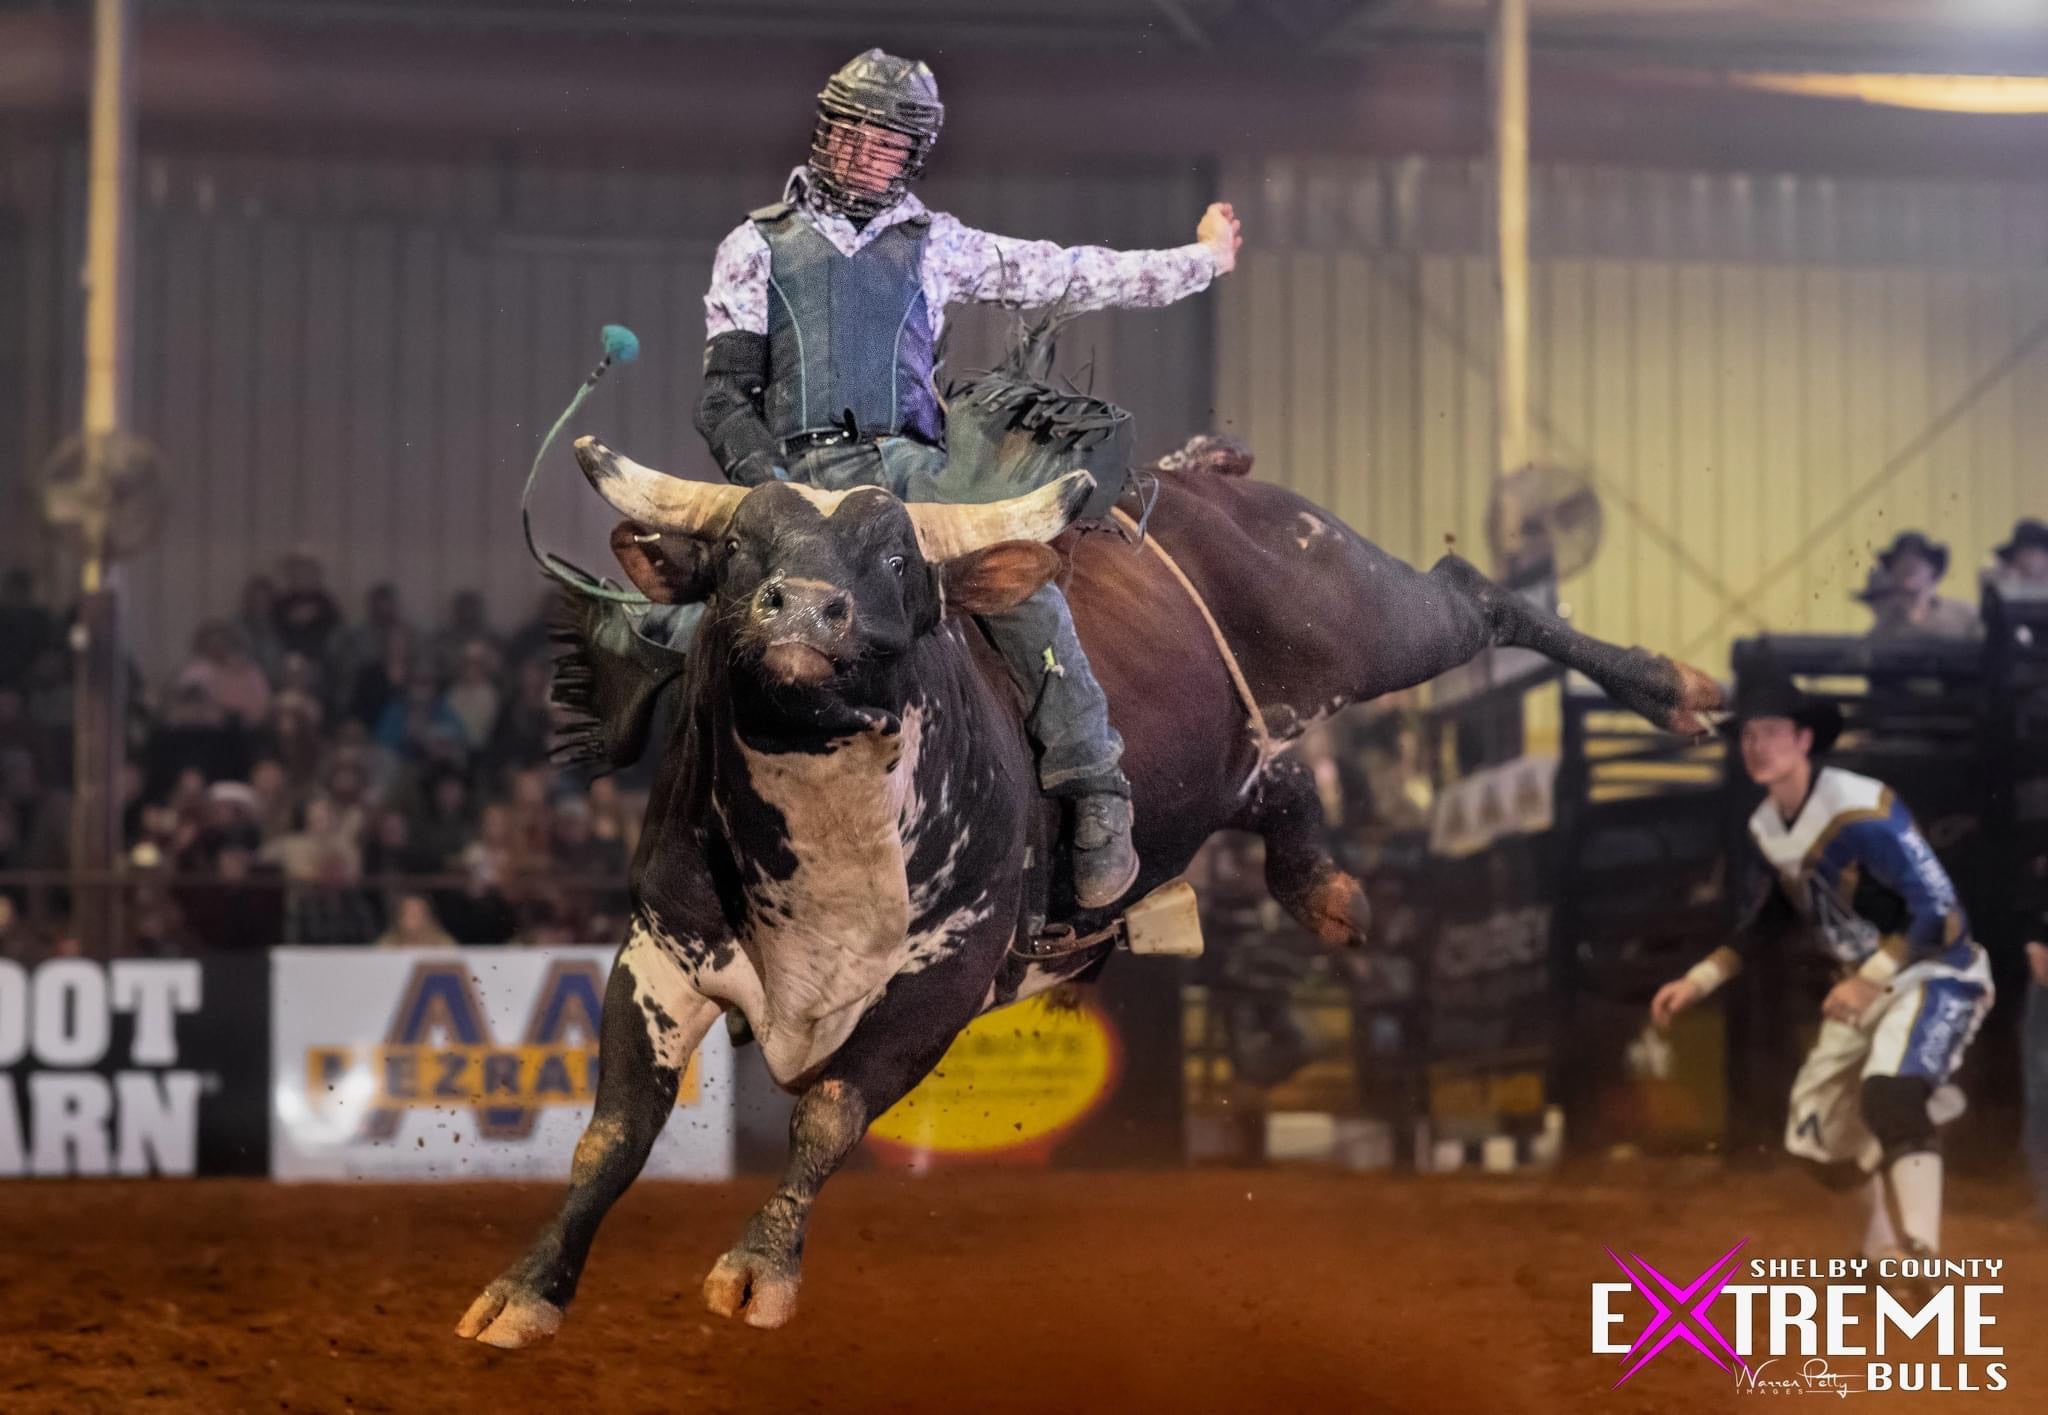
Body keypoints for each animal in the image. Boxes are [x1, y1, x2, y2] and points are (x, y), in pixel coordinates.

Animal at [456, 435, 1722, 1348]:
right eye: (735, 561)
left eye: (896, 562)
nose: (802, 611)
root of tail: (1190, 480)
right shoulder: (658, 954)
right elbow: (613, 1132)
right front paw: (524, 1287)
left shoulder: (941, 979)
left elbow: (827, 1111)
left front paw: (758, 1266)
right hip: (1229, 746)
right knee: (1276, 776)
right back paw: (1325, 891)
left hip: (1356, 612)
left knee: (1469, 593)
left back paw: (1674, 685)